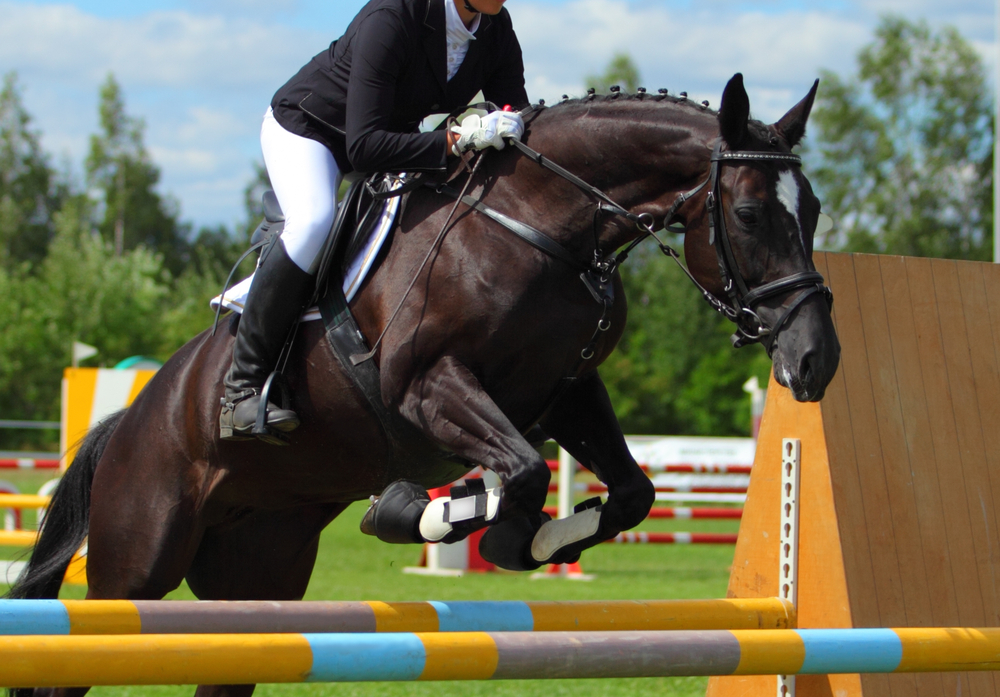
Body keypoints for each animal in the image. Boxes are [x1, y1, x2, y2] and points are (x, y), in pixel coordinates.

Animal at [7, 73, 839, 697]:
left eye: (816, 208)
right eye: (750, 212)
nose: (816, 360)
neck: (541, 224)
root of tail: (132, 418)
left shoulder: (565, 391)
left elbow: (628, 490)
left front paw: (525, 536)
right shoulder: (426, 386)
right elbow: (523, 472)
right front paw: (428, 514)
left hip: (255, 580)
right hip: (135, 566)